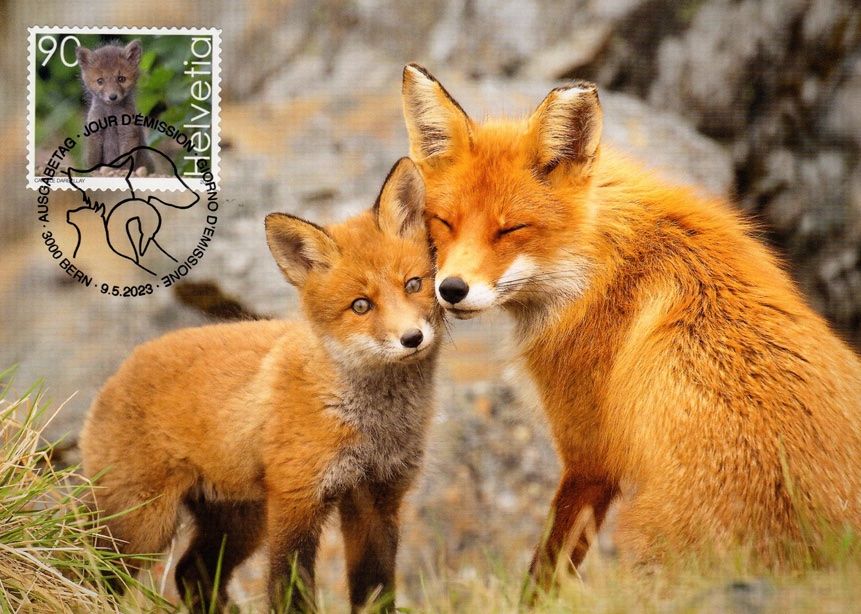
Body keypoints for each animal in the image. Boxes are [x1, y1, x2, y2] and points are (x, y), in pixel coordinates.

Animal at [76, 40, 149, 172]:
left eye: (121, 79)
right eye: (100, 81)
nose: (112, 97)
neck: (111, 114)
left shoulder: (128, 132)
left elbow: (125, 160)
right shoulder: (94, 132)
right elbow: (93, 159)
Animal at [79, 158, 441, 612]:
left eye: (413, 284)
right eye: (361, 306)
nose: (412, 338)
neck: (374, 425)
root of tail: (118, 369)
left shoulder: (377, 498)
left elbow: (375, 592)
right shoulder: (295, 499)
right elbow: (290, 592)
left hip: (239, 521)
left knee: (190, 573)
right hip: (143, 524)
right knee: (89, 568)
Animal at [400, 64, 861, 584]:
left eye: (511, 229)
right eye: (444, 222)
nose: (451, 289)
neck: (599, 264)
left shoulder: (591, 460)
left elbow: (543, 577)